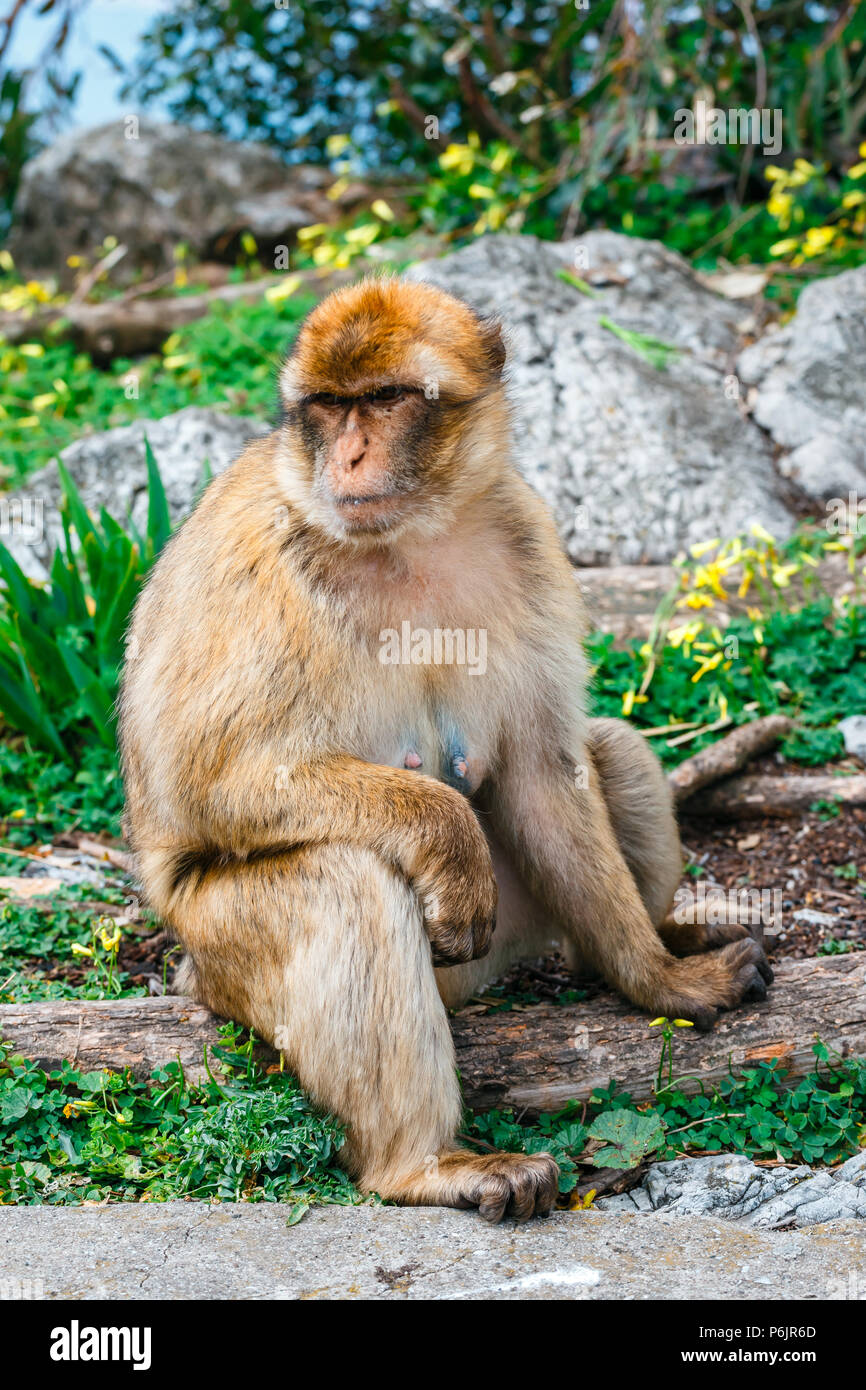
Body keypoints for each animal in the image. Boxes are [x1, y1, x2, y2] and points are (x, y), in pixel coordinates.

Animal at [118, 276, 772, 1223]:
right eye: (330, 407)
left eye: (387, 400)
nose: (348, 458)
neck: (409, 536)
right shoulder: (258, 565)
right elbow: (204, 785)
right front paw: (446, 832)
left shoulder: (525, 532)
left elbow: (544, 772)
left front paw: (661, 984)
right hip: (223, 954)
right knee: (345, 883)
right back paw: (421, 1165)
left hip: (503, 939)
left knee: (610, 751)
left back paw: (649, 944)